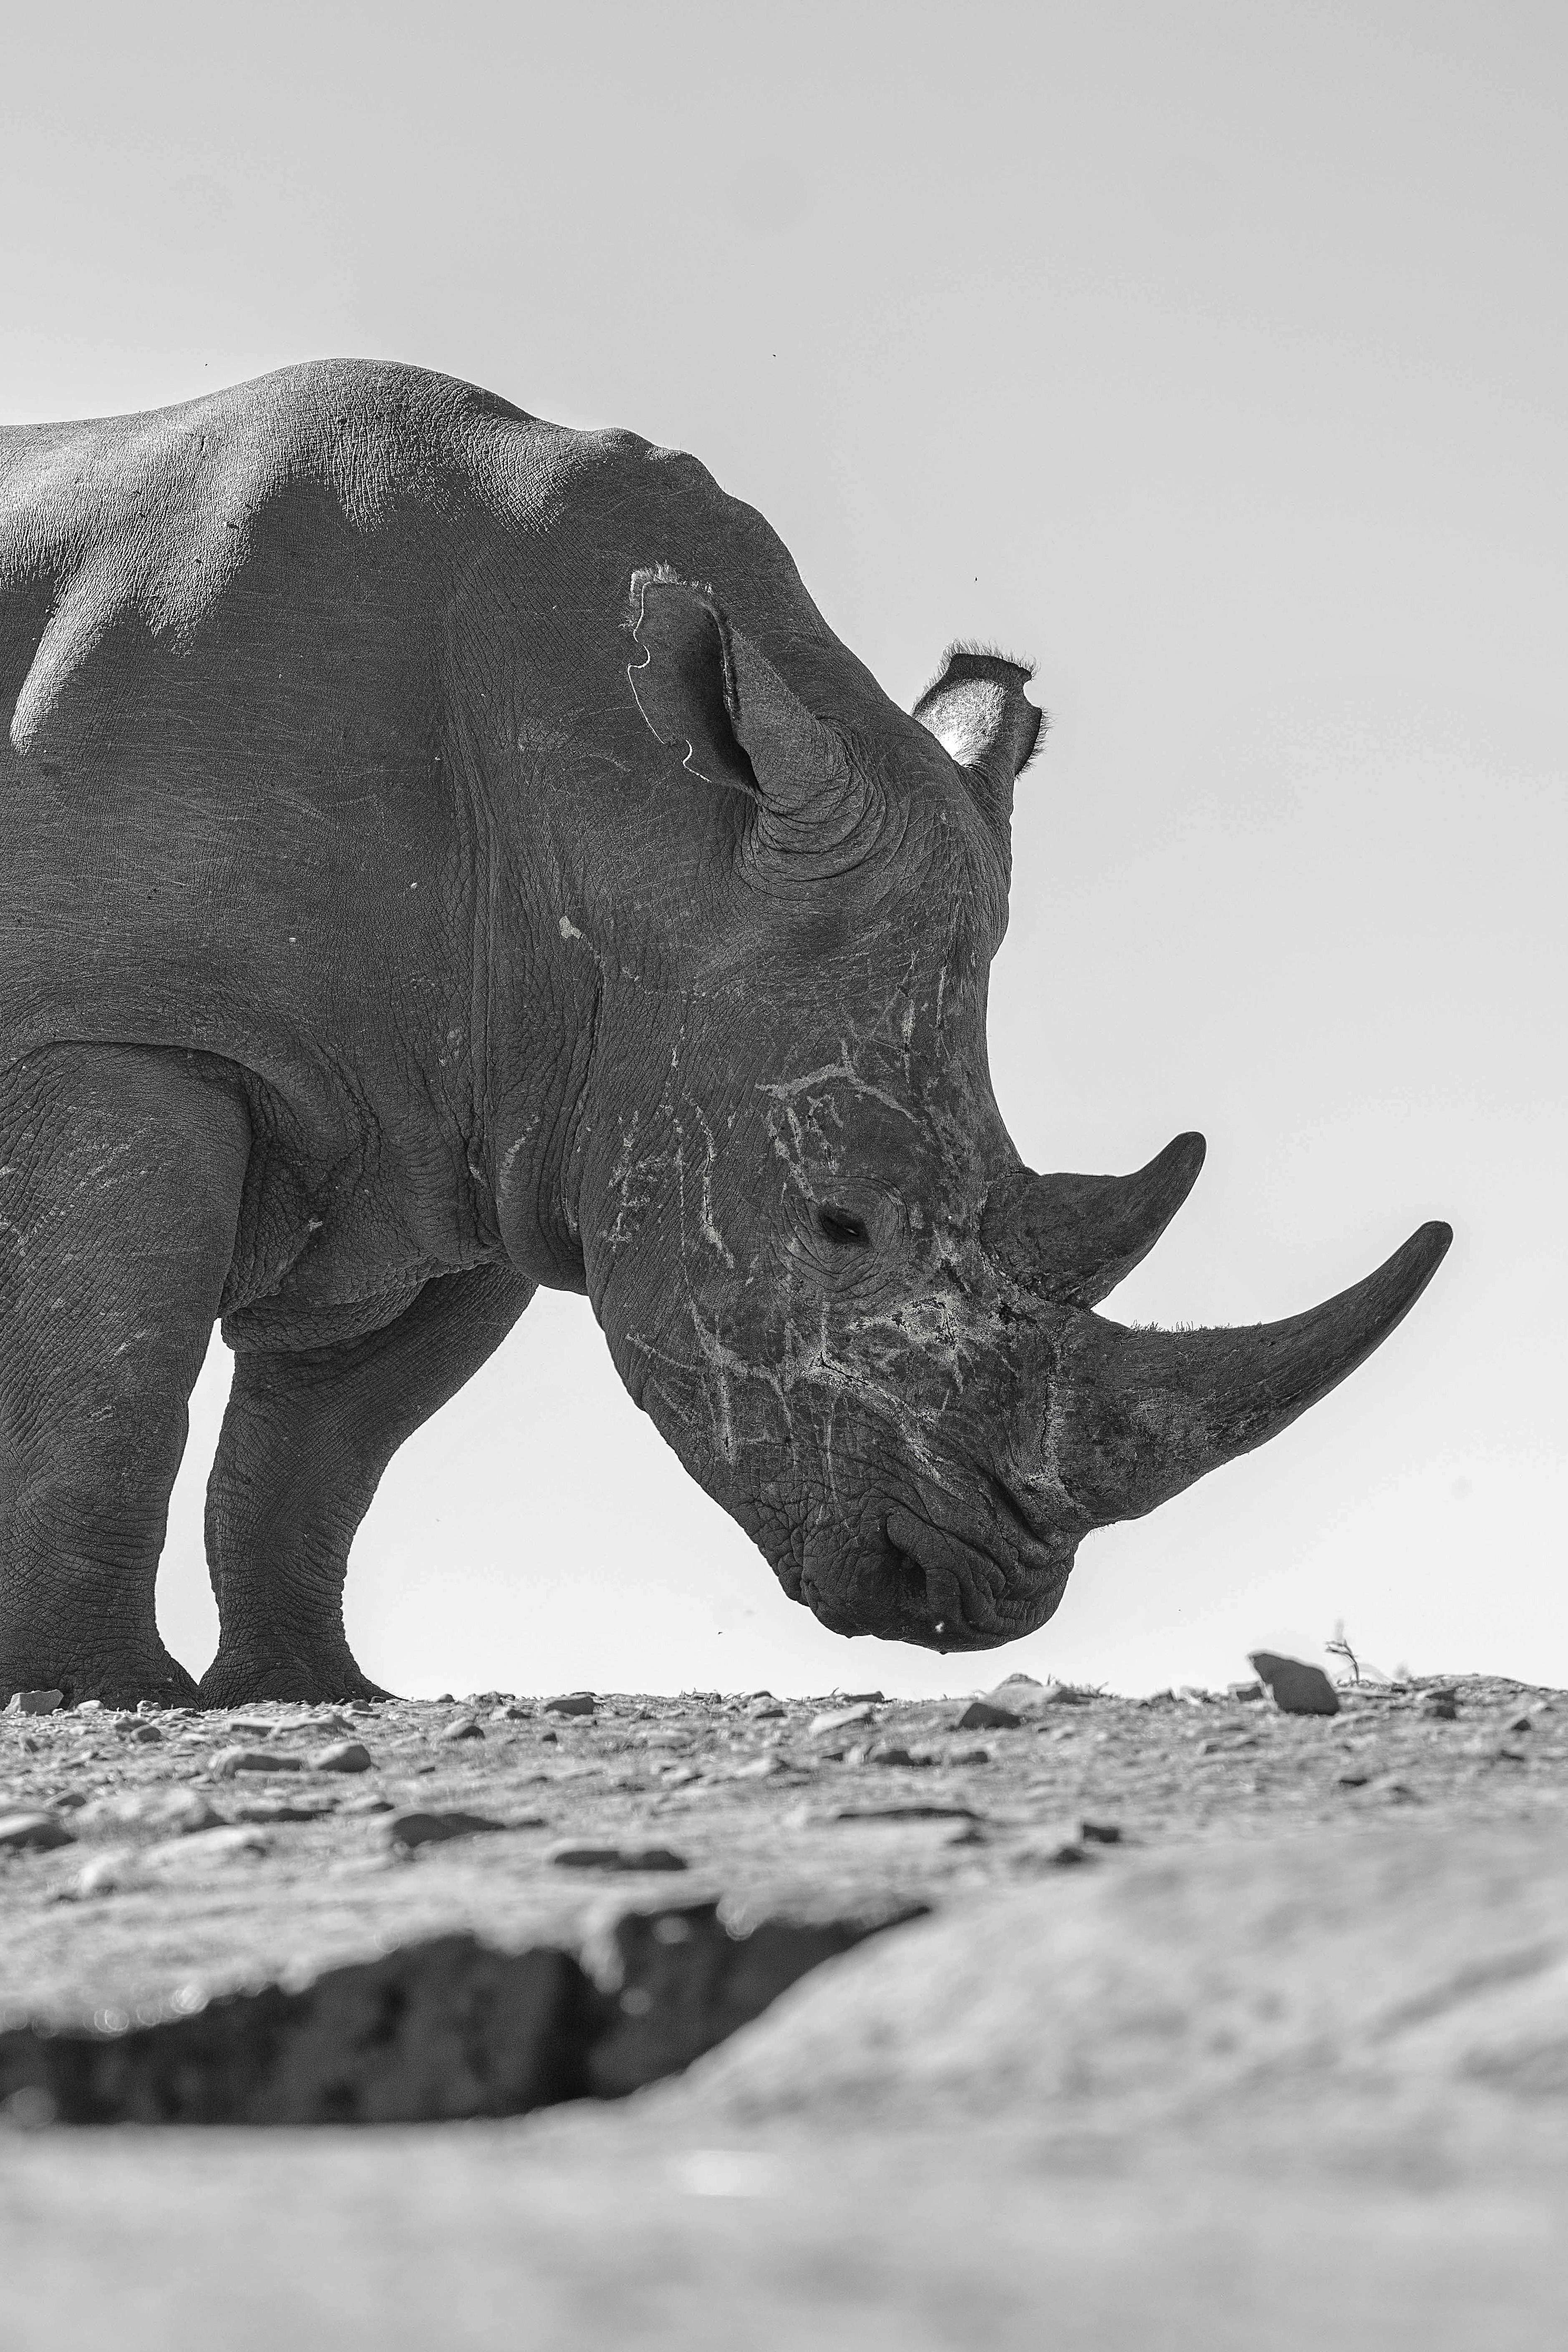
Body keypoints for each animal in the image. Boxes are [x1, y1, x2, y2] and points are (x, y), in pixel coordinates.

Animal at [0, 360, 1450, 1708]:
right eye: (839, 1223)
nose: (972, 1596)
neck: (612, 812)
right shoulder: (140, 1026)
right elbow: (118, 1366)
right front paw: (107, 1687)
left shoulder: (500, 1118)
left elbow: (325, 1445)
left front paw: (310, 1689)